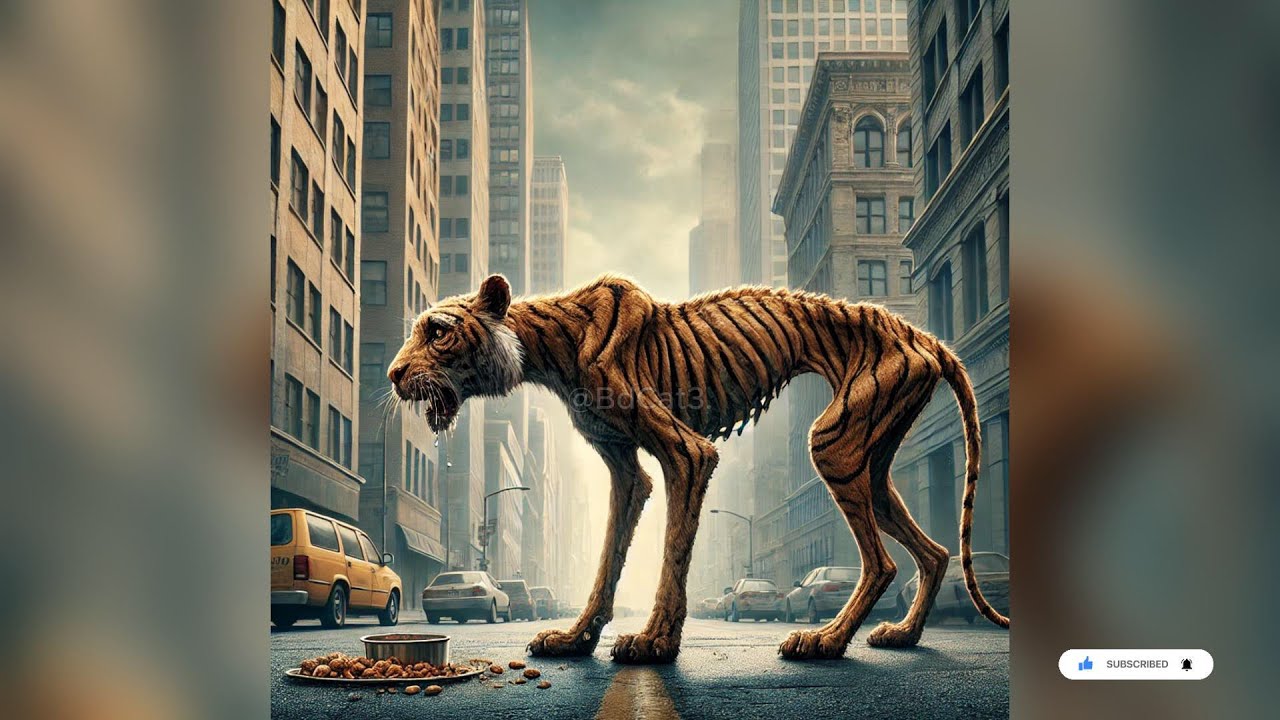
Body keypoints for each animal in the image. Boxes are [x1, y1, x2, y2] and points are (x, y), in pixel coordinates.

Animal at [386, 273, 1010, 664]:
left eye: (438, 331)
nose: (393, 375)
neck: (550, 343)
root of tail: (922, 333)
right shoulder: (625, 470)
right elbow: (608, 559)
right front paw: (576, 639)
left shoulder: (688, 454)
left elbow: (672, 552)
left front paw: (654, 644)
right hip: (868, 462)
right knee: (933, 551)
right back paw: (903, 635)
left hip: (833, 446)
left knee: (882, 562)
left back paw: (825, 642)